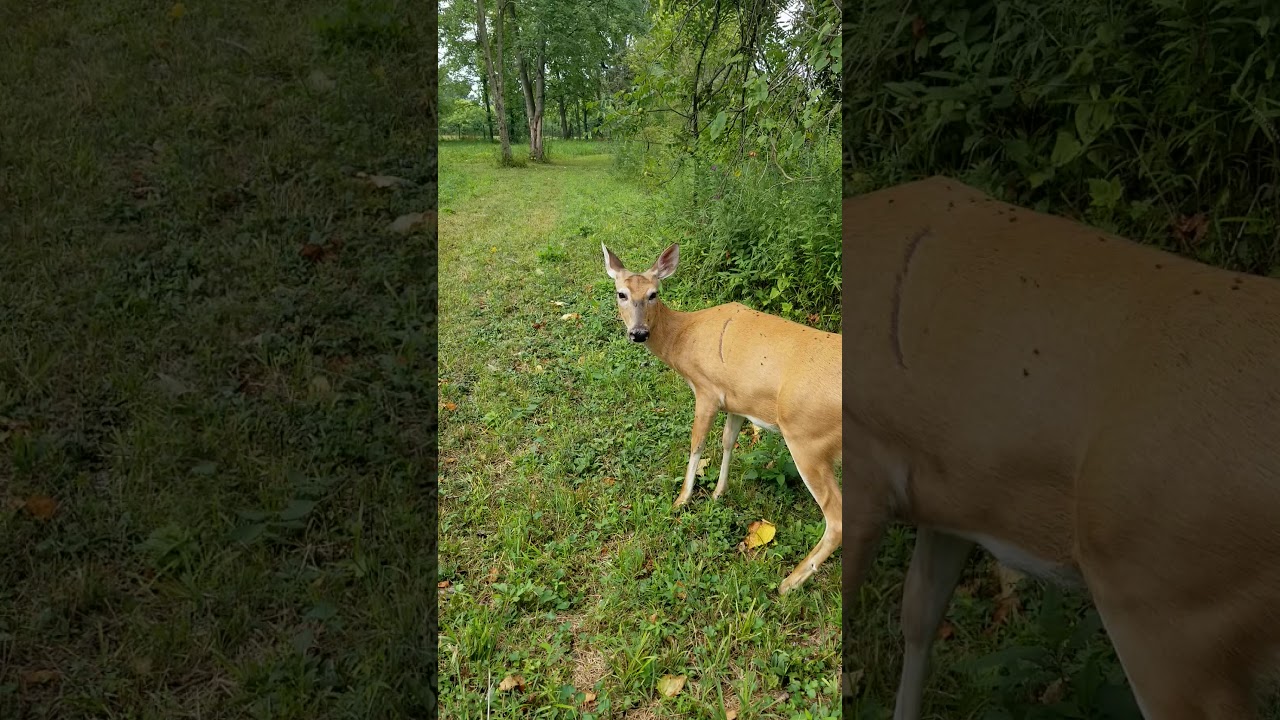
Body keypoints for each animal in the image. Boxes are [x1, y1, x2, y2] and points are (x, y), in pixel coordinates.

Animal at [602, 243, 842, 595]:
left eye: (653, 294)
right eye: (621, 293)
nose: (639, 333)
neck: (683, 338)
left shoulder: (706, 390)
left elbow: (697, 444)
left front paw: (682, 500)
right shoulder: (738, 401)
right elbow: (728, 442)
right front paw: (718, 493)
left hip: (808, 438)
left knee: (837, 518)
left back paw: (789, 583)